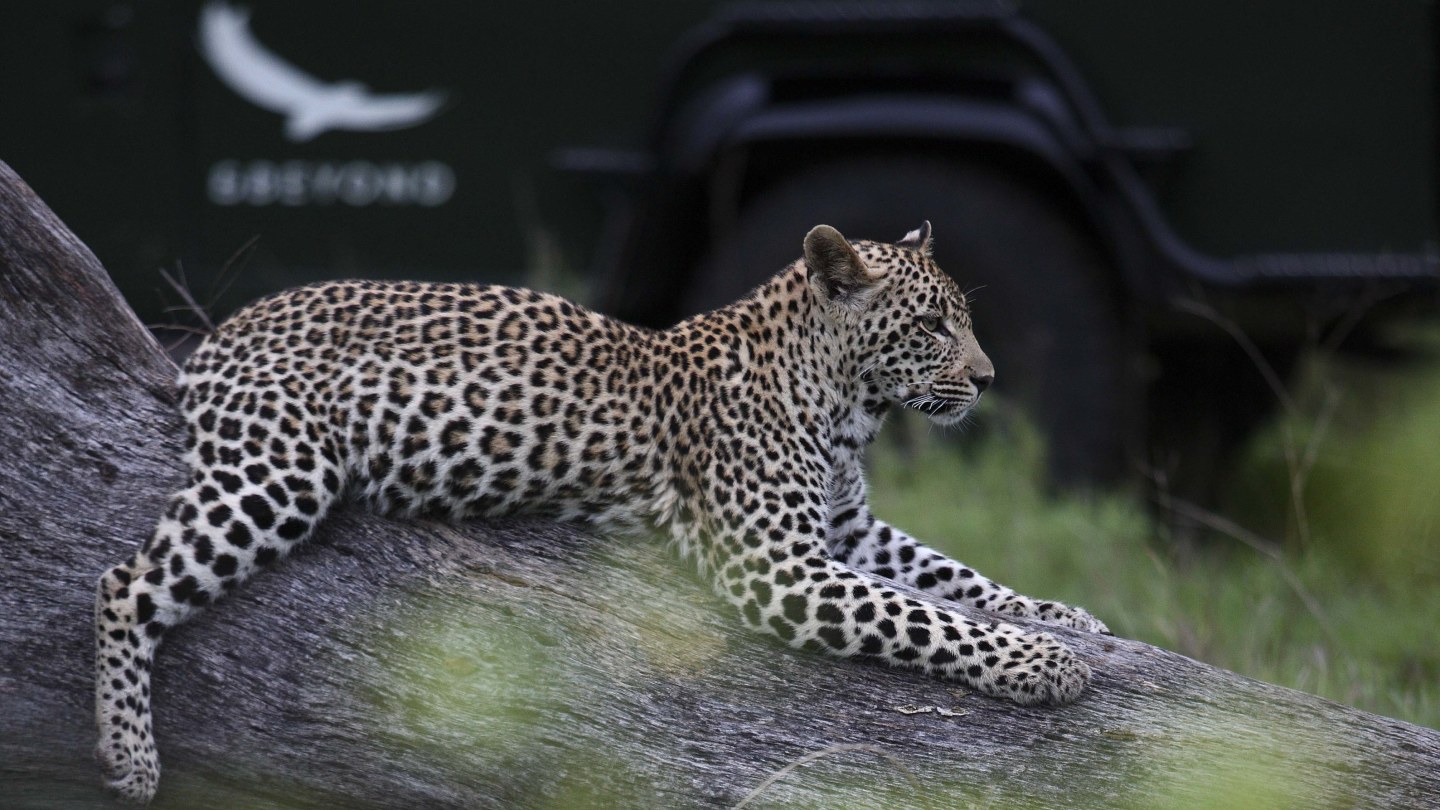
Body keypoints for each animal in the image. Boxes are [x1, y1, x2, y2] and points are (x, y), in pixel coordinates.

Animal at [94, 221, 1108, 803]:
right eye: (932, 326)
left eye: (960, 320)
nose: (989, 379)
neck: (845, 408)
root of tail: (224, 330)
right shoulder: (777, 564)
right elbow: (925, 616)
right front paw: (1043, 663)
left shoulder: (847, 530)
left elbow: (955, 576)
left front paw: (1069, 618)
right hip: (279, 472)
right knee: (122, 581)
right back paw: (128, 759)